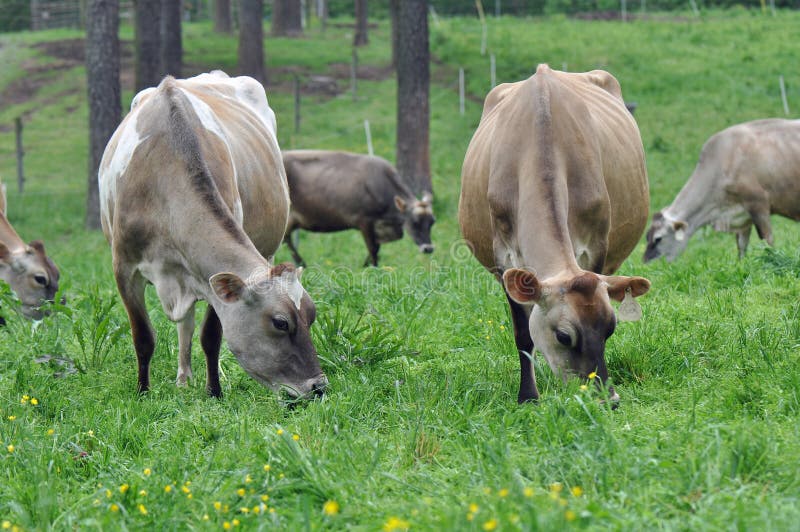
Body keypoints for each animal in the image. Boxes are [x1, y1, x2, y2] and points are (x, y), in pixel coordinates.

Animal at [99, 71, 327, 400]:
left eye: (312, 315)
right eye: (280, 323)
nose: (318, 386)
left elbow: (211, 336)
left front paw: (214, 391)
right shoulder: (124, 269)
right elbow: (143, 337)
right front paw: (142, 391)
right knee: (185, 324)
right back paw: (183, 378)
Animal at [281, 150, 435, 267]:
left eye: (432, 222)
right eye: (415, 222)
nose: (428, 248)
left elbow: (376, 248)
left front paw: (366, 265)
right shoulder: (364, 220)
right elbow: (373, 248)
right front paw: (373, 268)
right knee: (286, 239)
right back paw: (301, 263)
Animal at [459, 64, 651, 404]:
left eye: (610, 328)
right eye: (564, 336)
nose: (608, 398)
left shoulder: (596, 248)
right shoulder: (504, 256)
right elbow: (523, 334)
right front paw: (528, 396)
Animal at [644, 118, 800, 262]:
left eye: (658, 238)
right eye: (647, 237)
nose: (646, 263)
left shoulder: (758, 205)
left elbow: (767, 241)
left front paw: (773, 258)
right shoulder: (742, 216)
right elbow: (741, 246)